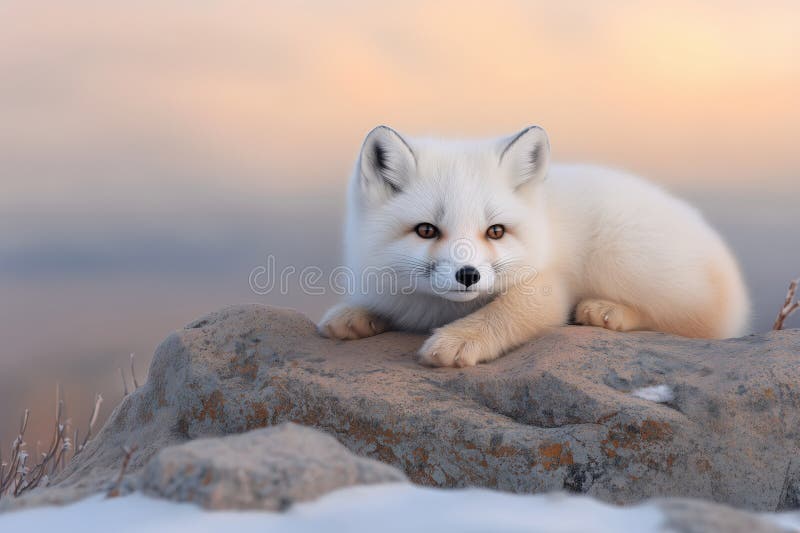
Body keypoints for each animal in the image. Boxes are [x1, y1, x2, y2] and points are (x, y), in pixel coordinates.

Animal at [318, 125, 750, 368]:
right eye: (426, 230)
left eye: (495, 232)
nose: (468, 275)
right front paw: (354, 315)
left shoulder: (549, 287)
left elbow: (506, 311)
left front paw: (459, 340)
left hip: (622, 251)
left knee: (697, 323)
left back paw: (606, 312)